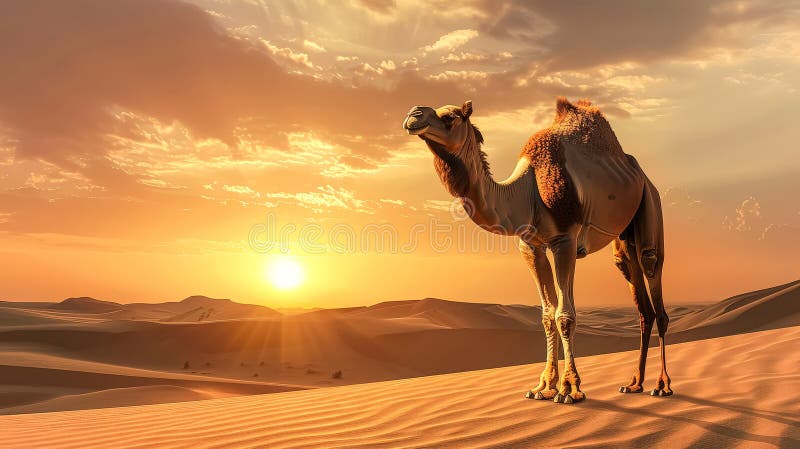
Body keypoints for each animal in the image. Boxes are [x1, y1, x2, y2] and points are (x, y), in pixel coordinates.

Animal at [402, 97, 671, 404]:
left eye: (451, 117)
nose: (413, 114)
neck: (526, 193)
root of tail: (642, 175)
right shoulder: (531, 246)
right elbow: (546, 316)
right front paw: (543, 387)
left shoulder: (565, 240)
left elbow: (564, 315)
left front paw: (570, 389)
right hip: (624, 239)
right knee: (639, 298)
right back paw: (634, 383)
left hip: (650, 202)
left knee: (653, 271)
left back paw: (662, 386)